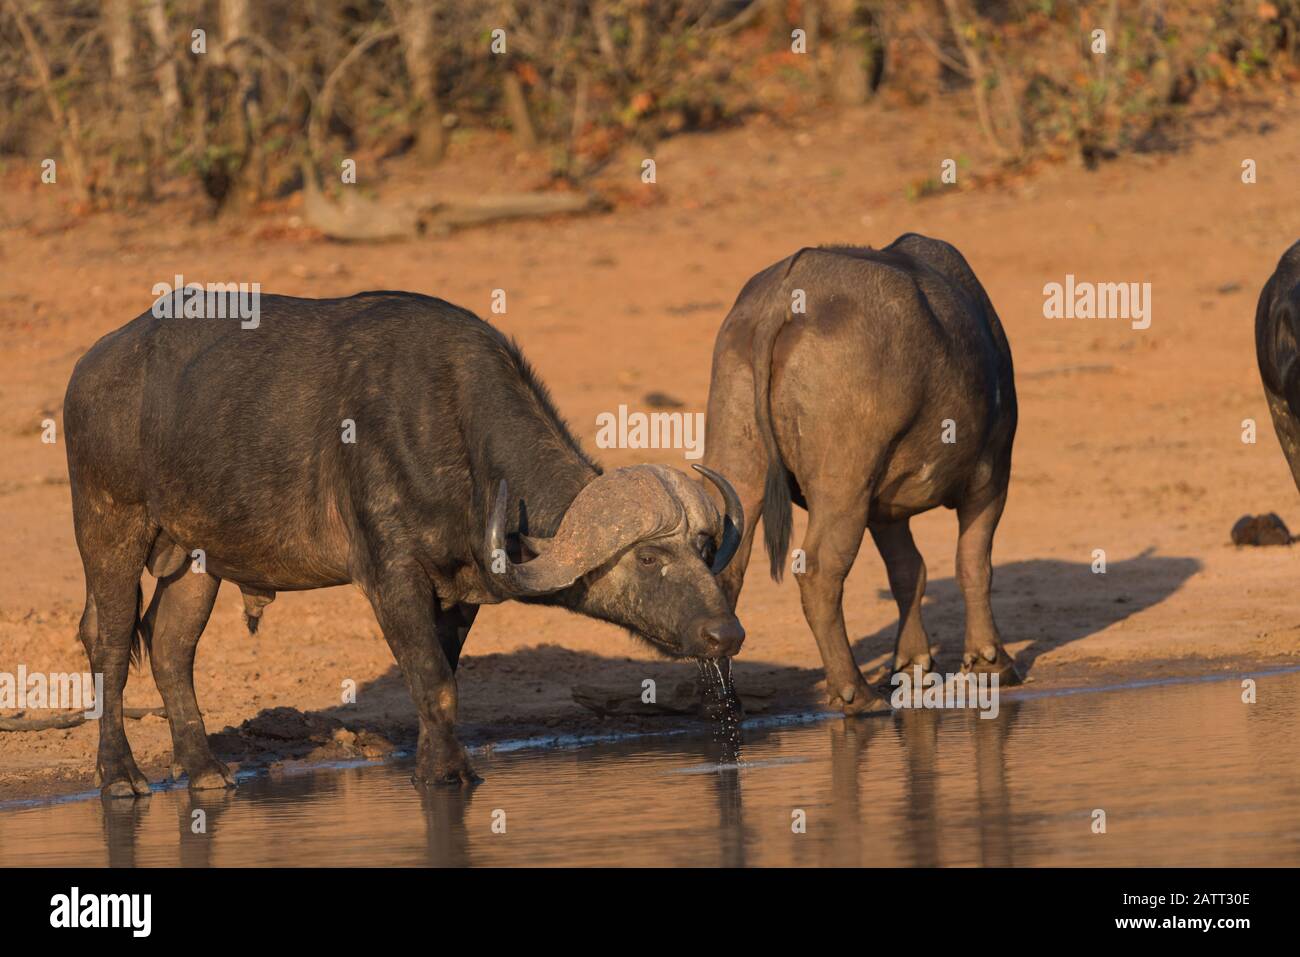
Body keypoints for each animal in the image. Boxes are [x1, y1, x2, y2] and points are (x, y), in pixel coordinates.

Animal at [64, 291, 744, 796]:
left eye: (704, 549)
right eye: (650, 557)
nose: (726, 634)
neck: (454, 425)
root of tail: (90, 368)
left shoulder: (460, 588)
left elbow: (440, 677)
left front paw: (443, 765)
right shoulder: (389, 574)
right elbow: (430, 676)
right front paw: (442, 774)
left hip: (196, 559)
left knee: (170, 645)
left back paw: (204, 770)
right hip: (108, 527)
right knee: (111, 640)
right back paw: (119, 776)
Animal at [699, 234, 1018, 713]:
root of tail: (782, 298)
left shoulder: (883, 509)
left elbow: (909, 572)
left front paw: (912, 664)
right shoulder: (991, 476)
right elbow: (973, 564)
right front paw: (989, 660)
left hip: (738, 460)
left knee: (725, 569)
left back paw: (724, 700)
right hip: (843, 485)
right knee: (818, 571)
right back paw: (854, 691)